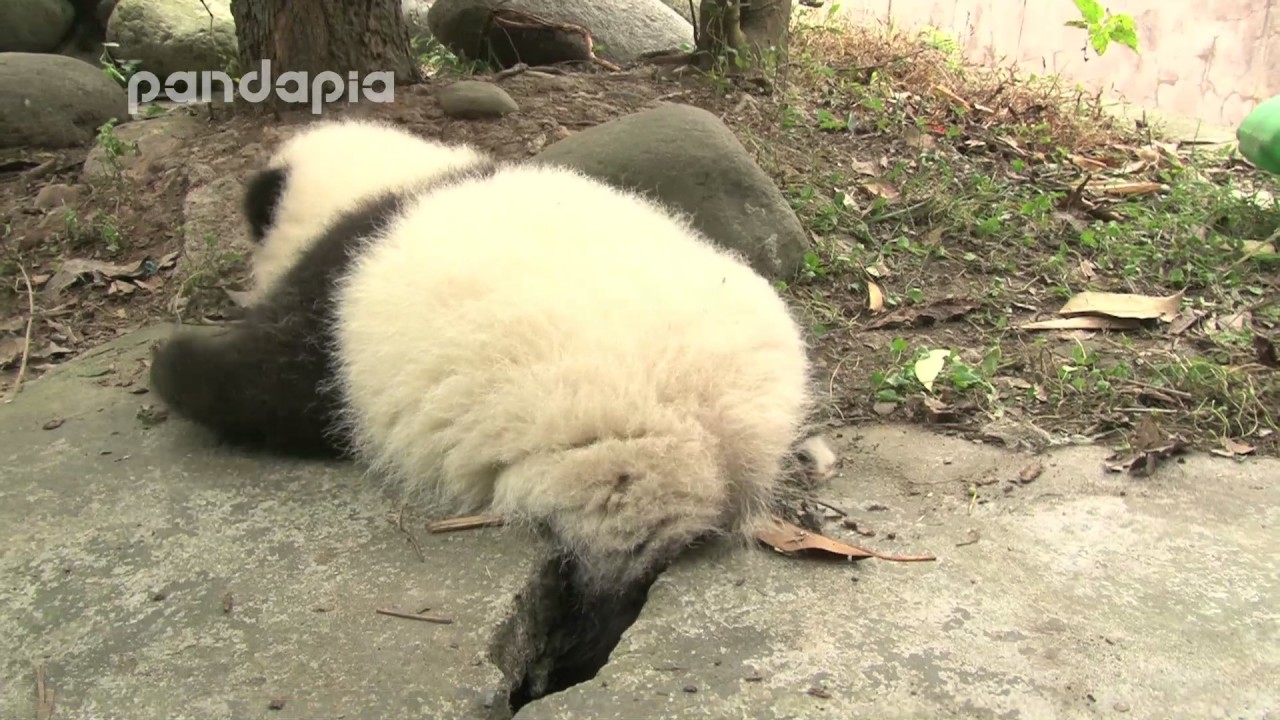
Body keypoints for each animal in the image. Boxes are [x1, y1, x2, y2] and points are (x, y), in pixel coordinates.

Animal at [149, 117, 820, 656]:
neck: (393, 181)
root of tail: (733, 432)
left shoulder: (336, 300)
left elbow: (273, 385)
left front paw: (171, 362)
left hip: (624, 469)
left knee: (612, 571)